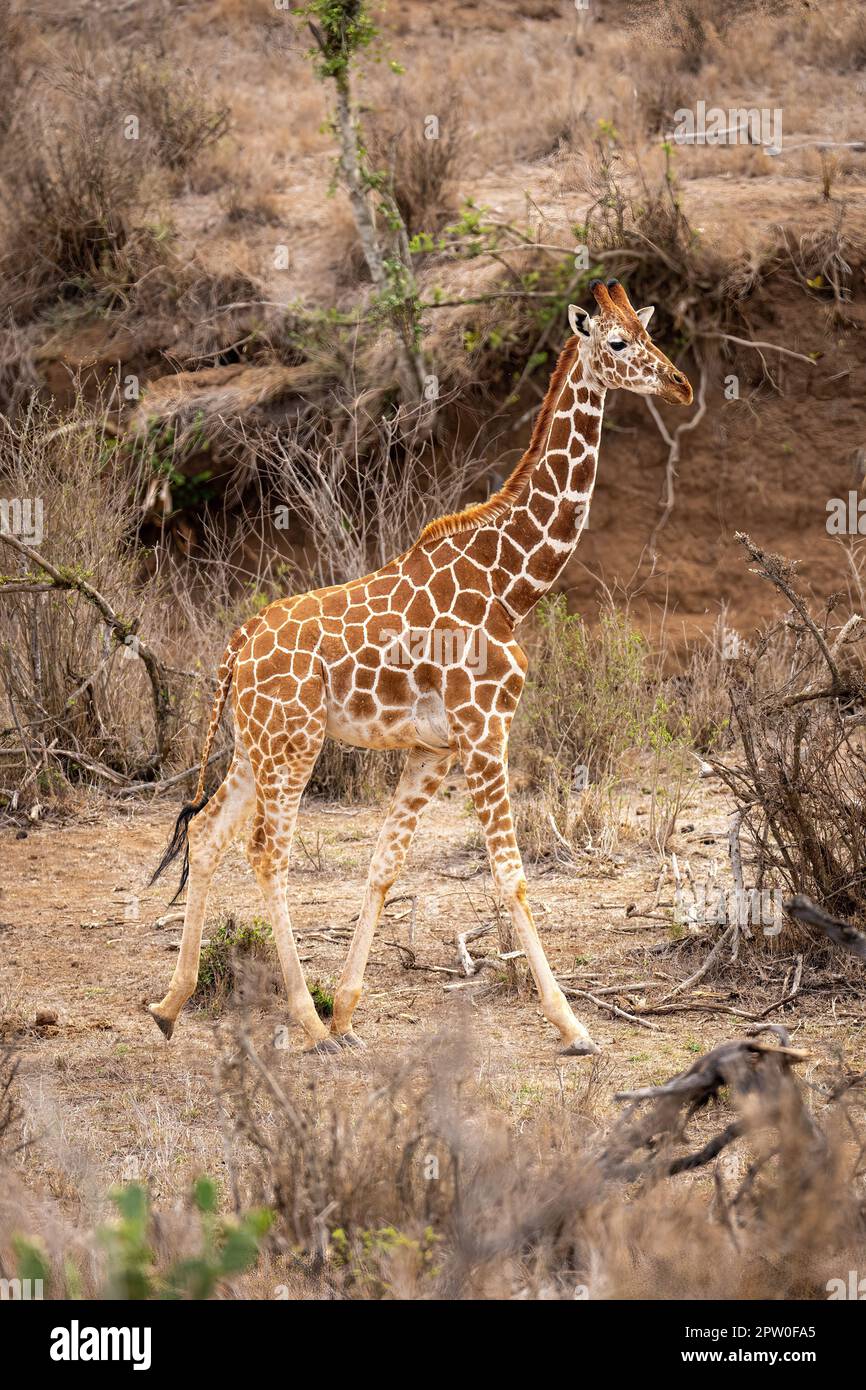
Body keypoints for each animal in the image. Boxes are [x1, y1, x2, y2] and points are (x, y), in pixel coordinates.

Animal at [148, 279, 692, 1056]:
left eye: (649, 334)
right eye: (618, 343)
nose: (679, 384)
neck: (511, 586)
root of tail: (240, 639)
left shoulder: (432, 750)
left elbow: (384, 865)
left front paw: (348, 1007)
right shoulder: (485, 732)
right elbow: (510, 875)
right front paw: (572, 1023)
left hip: (255, 744)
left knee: (208, 832)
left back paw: (172, 1004)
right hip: (292, 744)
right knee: (266, 853)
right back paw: (303, 1019)